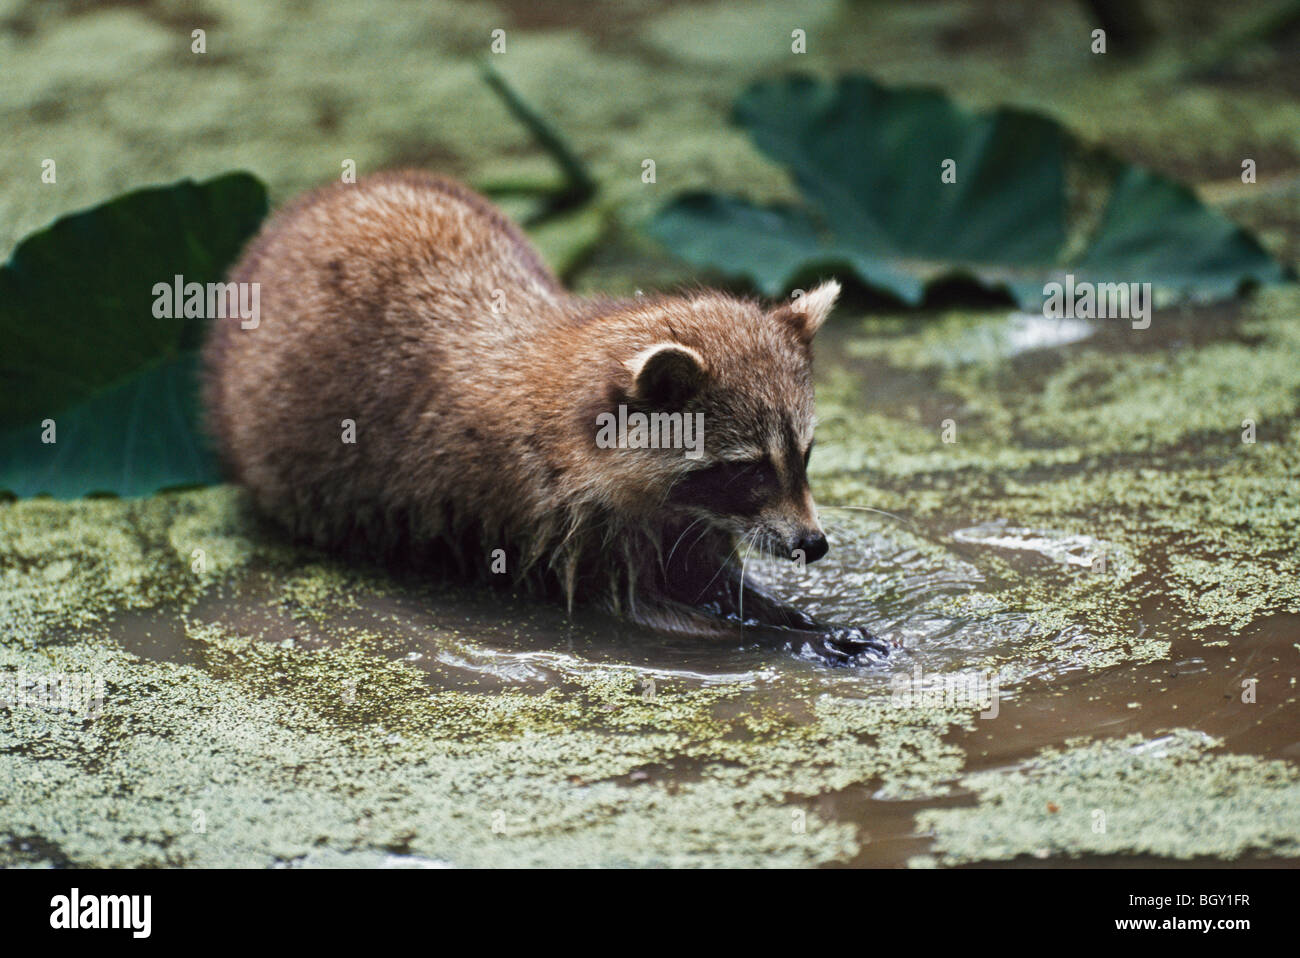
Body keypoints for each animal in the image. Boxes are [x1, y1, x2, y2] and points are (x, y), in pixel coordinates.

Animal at [203, 170, 886, 664]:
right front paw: (783, 636)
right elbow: (646, 611)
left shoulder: (677, 520)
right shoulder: (544, 515)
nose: (815, 545)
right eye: (749, 470)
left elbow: (711, 583)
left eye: (804, 456)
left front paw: (789, 614)